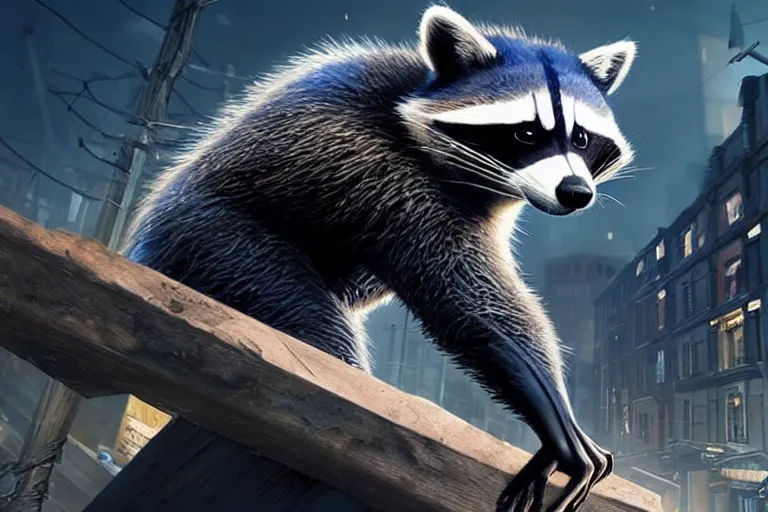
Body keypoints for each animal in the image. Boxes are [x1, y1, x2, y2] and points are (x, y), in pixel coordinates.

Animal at [124, 5, 636, 511]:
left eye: (582, 138)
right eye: (527, 132)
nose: (576, 192)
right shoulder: (381, 166)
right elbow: (465, 296)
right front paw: (552, 411)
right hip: (210, 238)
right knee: (313, 327)